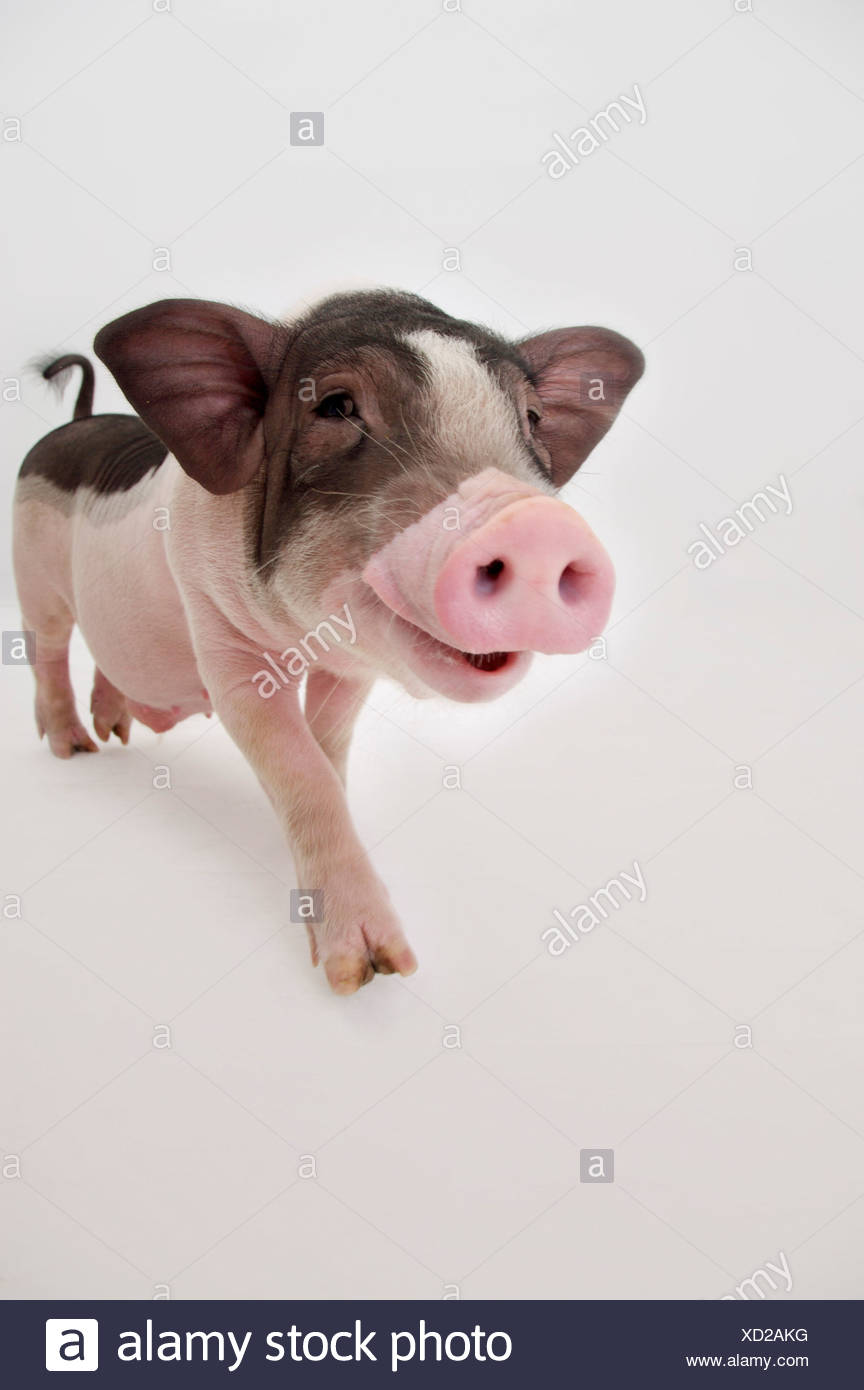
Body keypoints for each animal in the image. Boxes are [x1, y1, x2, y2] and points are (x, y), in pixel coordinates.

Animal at [13, 291, 643, 993]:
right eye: (337, 406)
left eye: (531, 419)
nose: (533, 523)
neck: (300, 634)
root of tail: (75, 424)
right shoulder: (221, 639)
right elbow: (300, 766)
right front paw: (368, 971)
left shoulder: (350, 671)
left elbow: (328, 752)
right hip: (30, 568)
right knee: (49, 650)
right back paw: (75, 749)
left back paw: (116, 730)